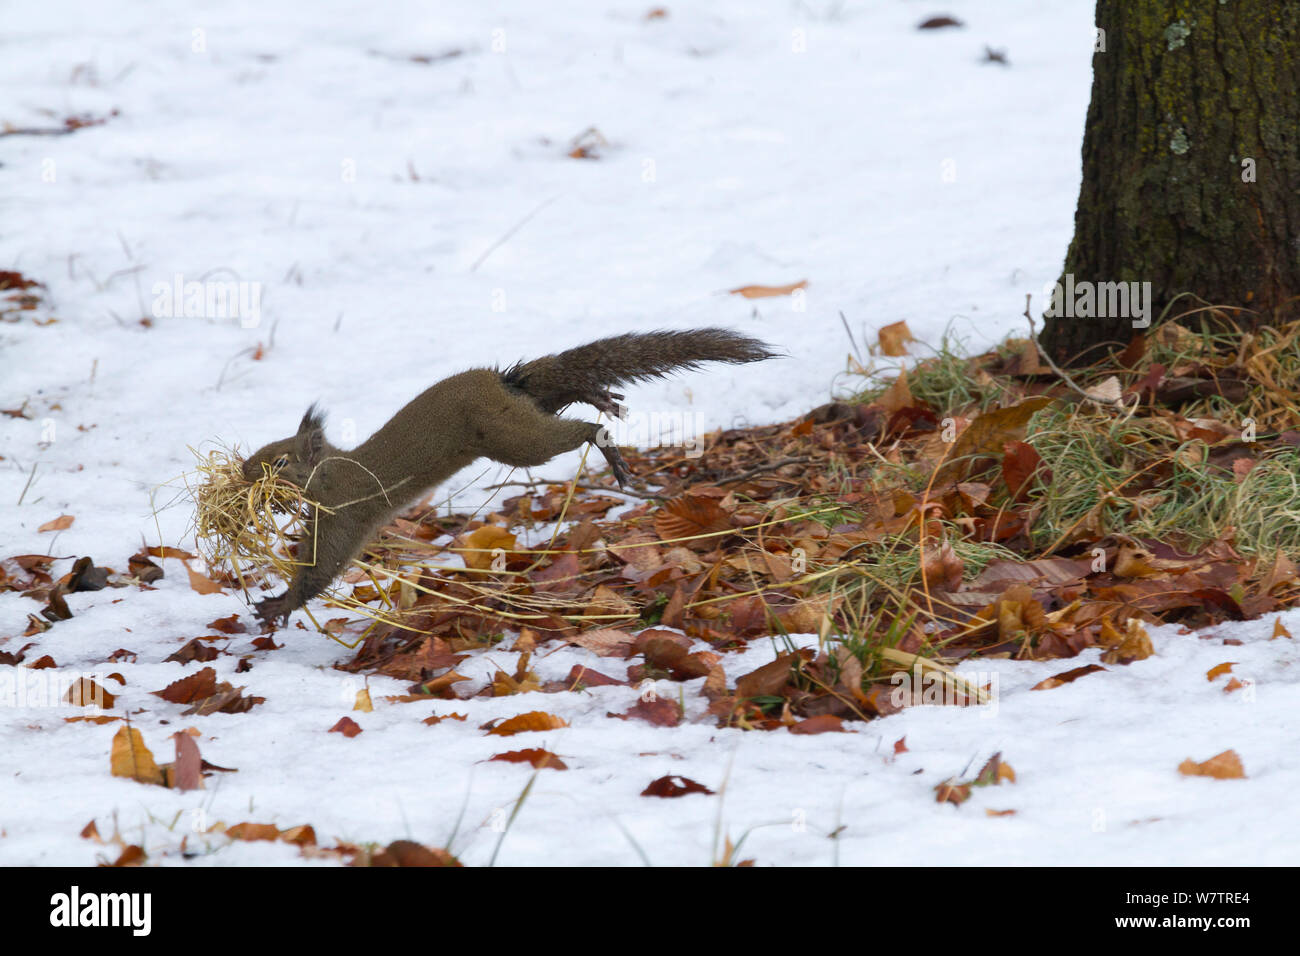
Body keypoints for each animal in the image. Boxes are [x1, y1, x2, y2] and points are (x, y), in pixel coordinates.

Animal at [240, 328, 776, 626]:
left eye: (279, 461)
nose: (245, 471)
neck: (329, 473)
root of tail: (502, 382)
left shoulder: (344, 512)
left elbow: (322, 567)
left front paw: (280, 604)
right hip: (521, 417)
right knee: (560, 393)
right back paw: (598, 395)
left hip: (511, 438)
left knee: (573, 430)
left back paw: (604, 439)